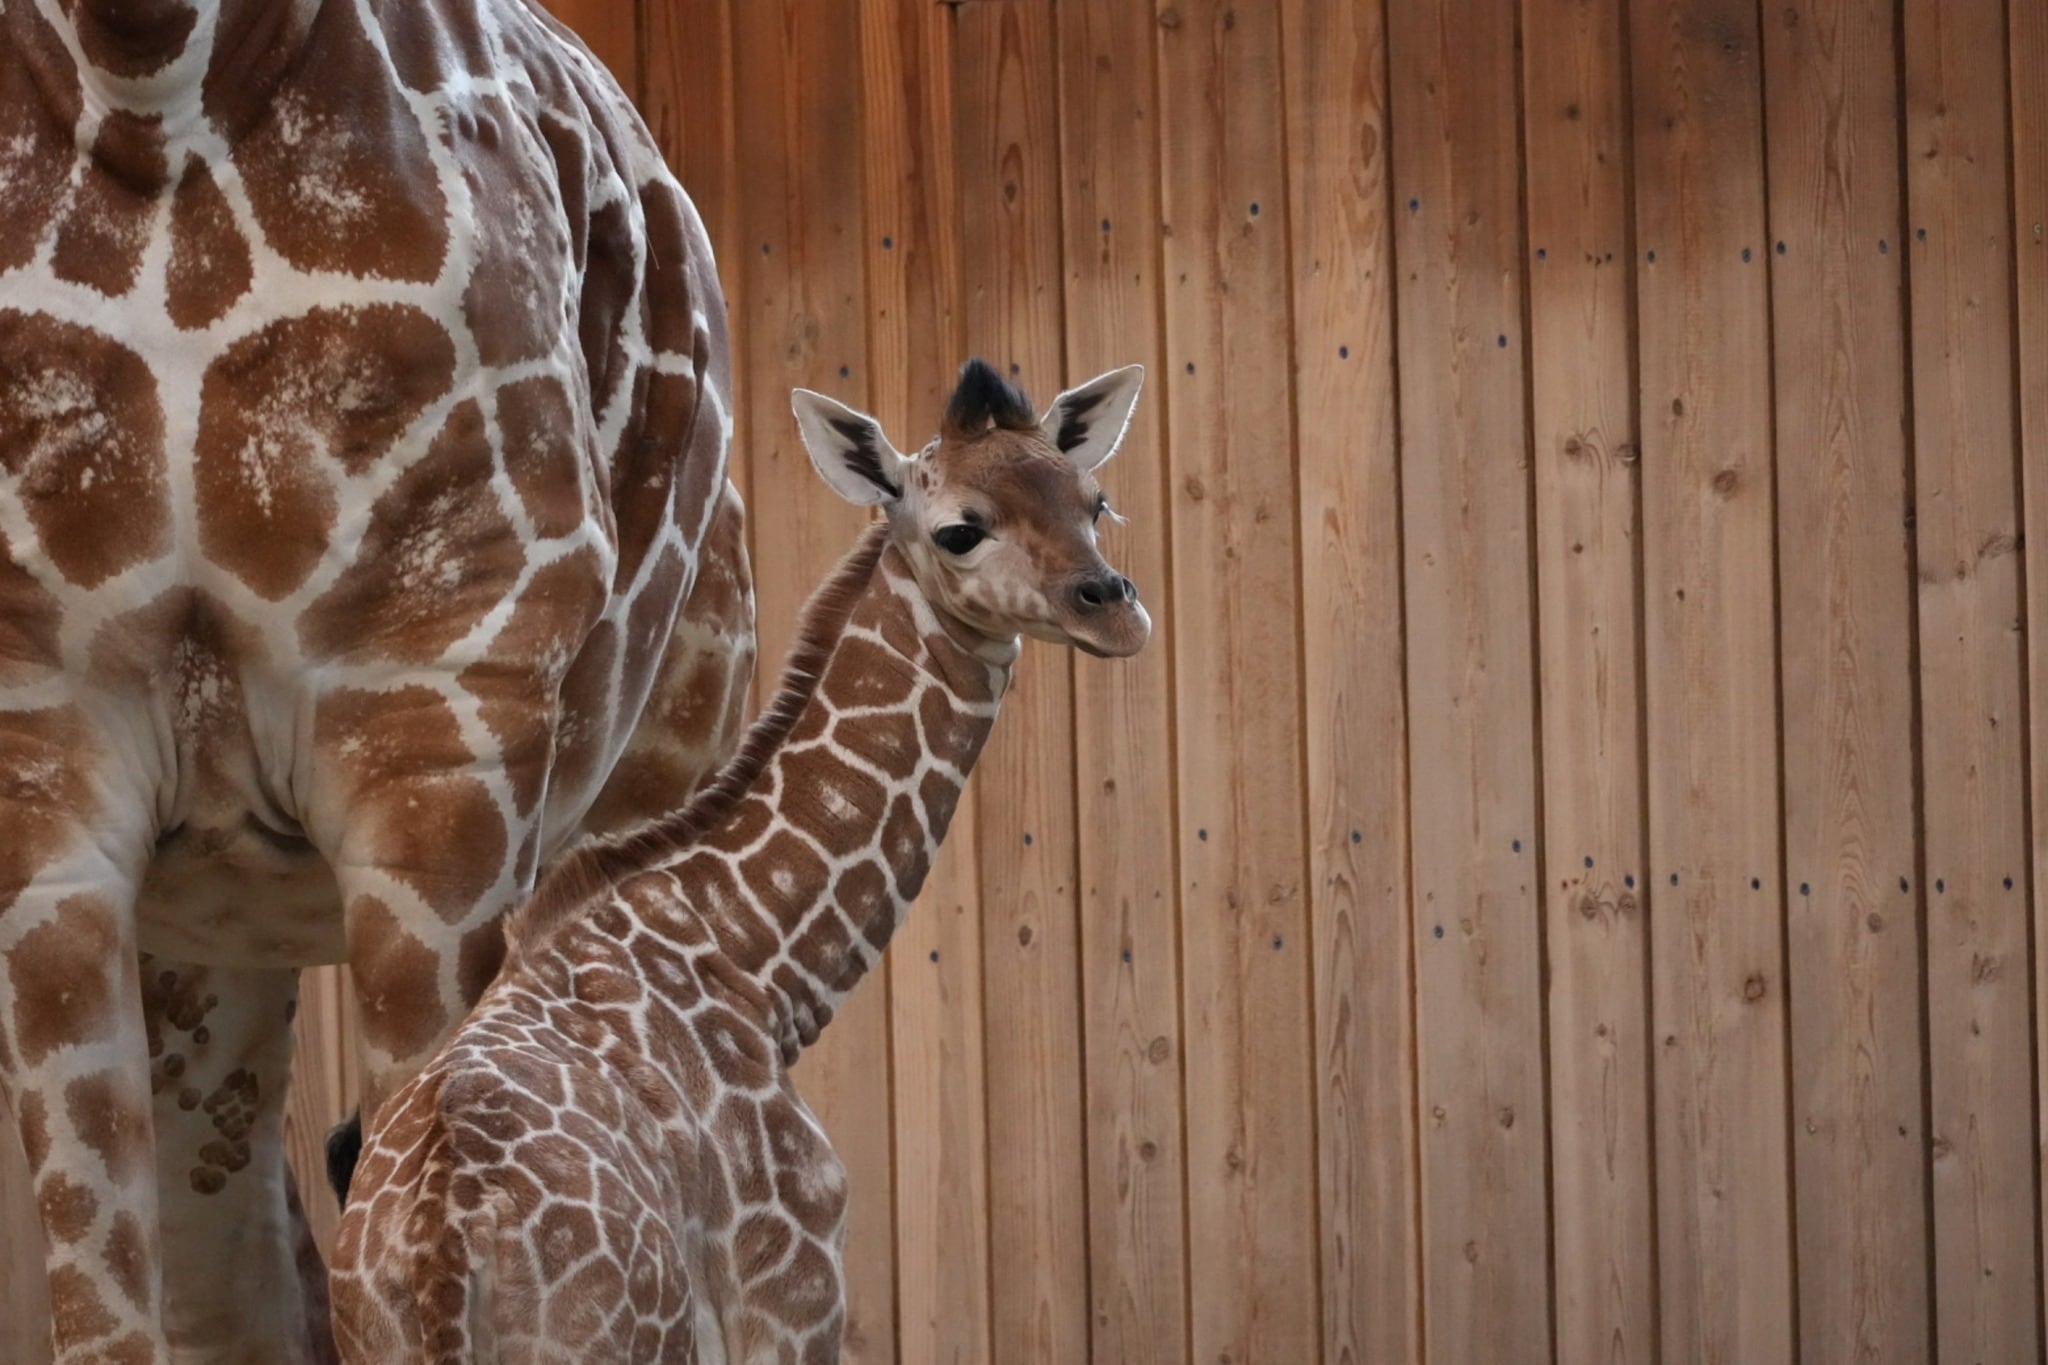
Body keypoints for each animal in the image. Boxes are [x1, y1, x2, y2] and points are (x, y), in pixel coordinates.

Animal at [0, 2, 756, 1361]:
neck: (146, 86)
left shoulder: (442, 706)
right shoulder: (43, 760)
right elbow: (113, 1302)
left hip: (665, 782)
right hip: (205, 930)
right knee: (251, 1266)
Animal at [327, 359, 1150, 1364]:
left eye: (1094, 501)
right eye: (960, 527)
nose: (1117, 609)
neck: (755, 959)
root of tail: (444, 1252)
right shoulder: (793, 1295)